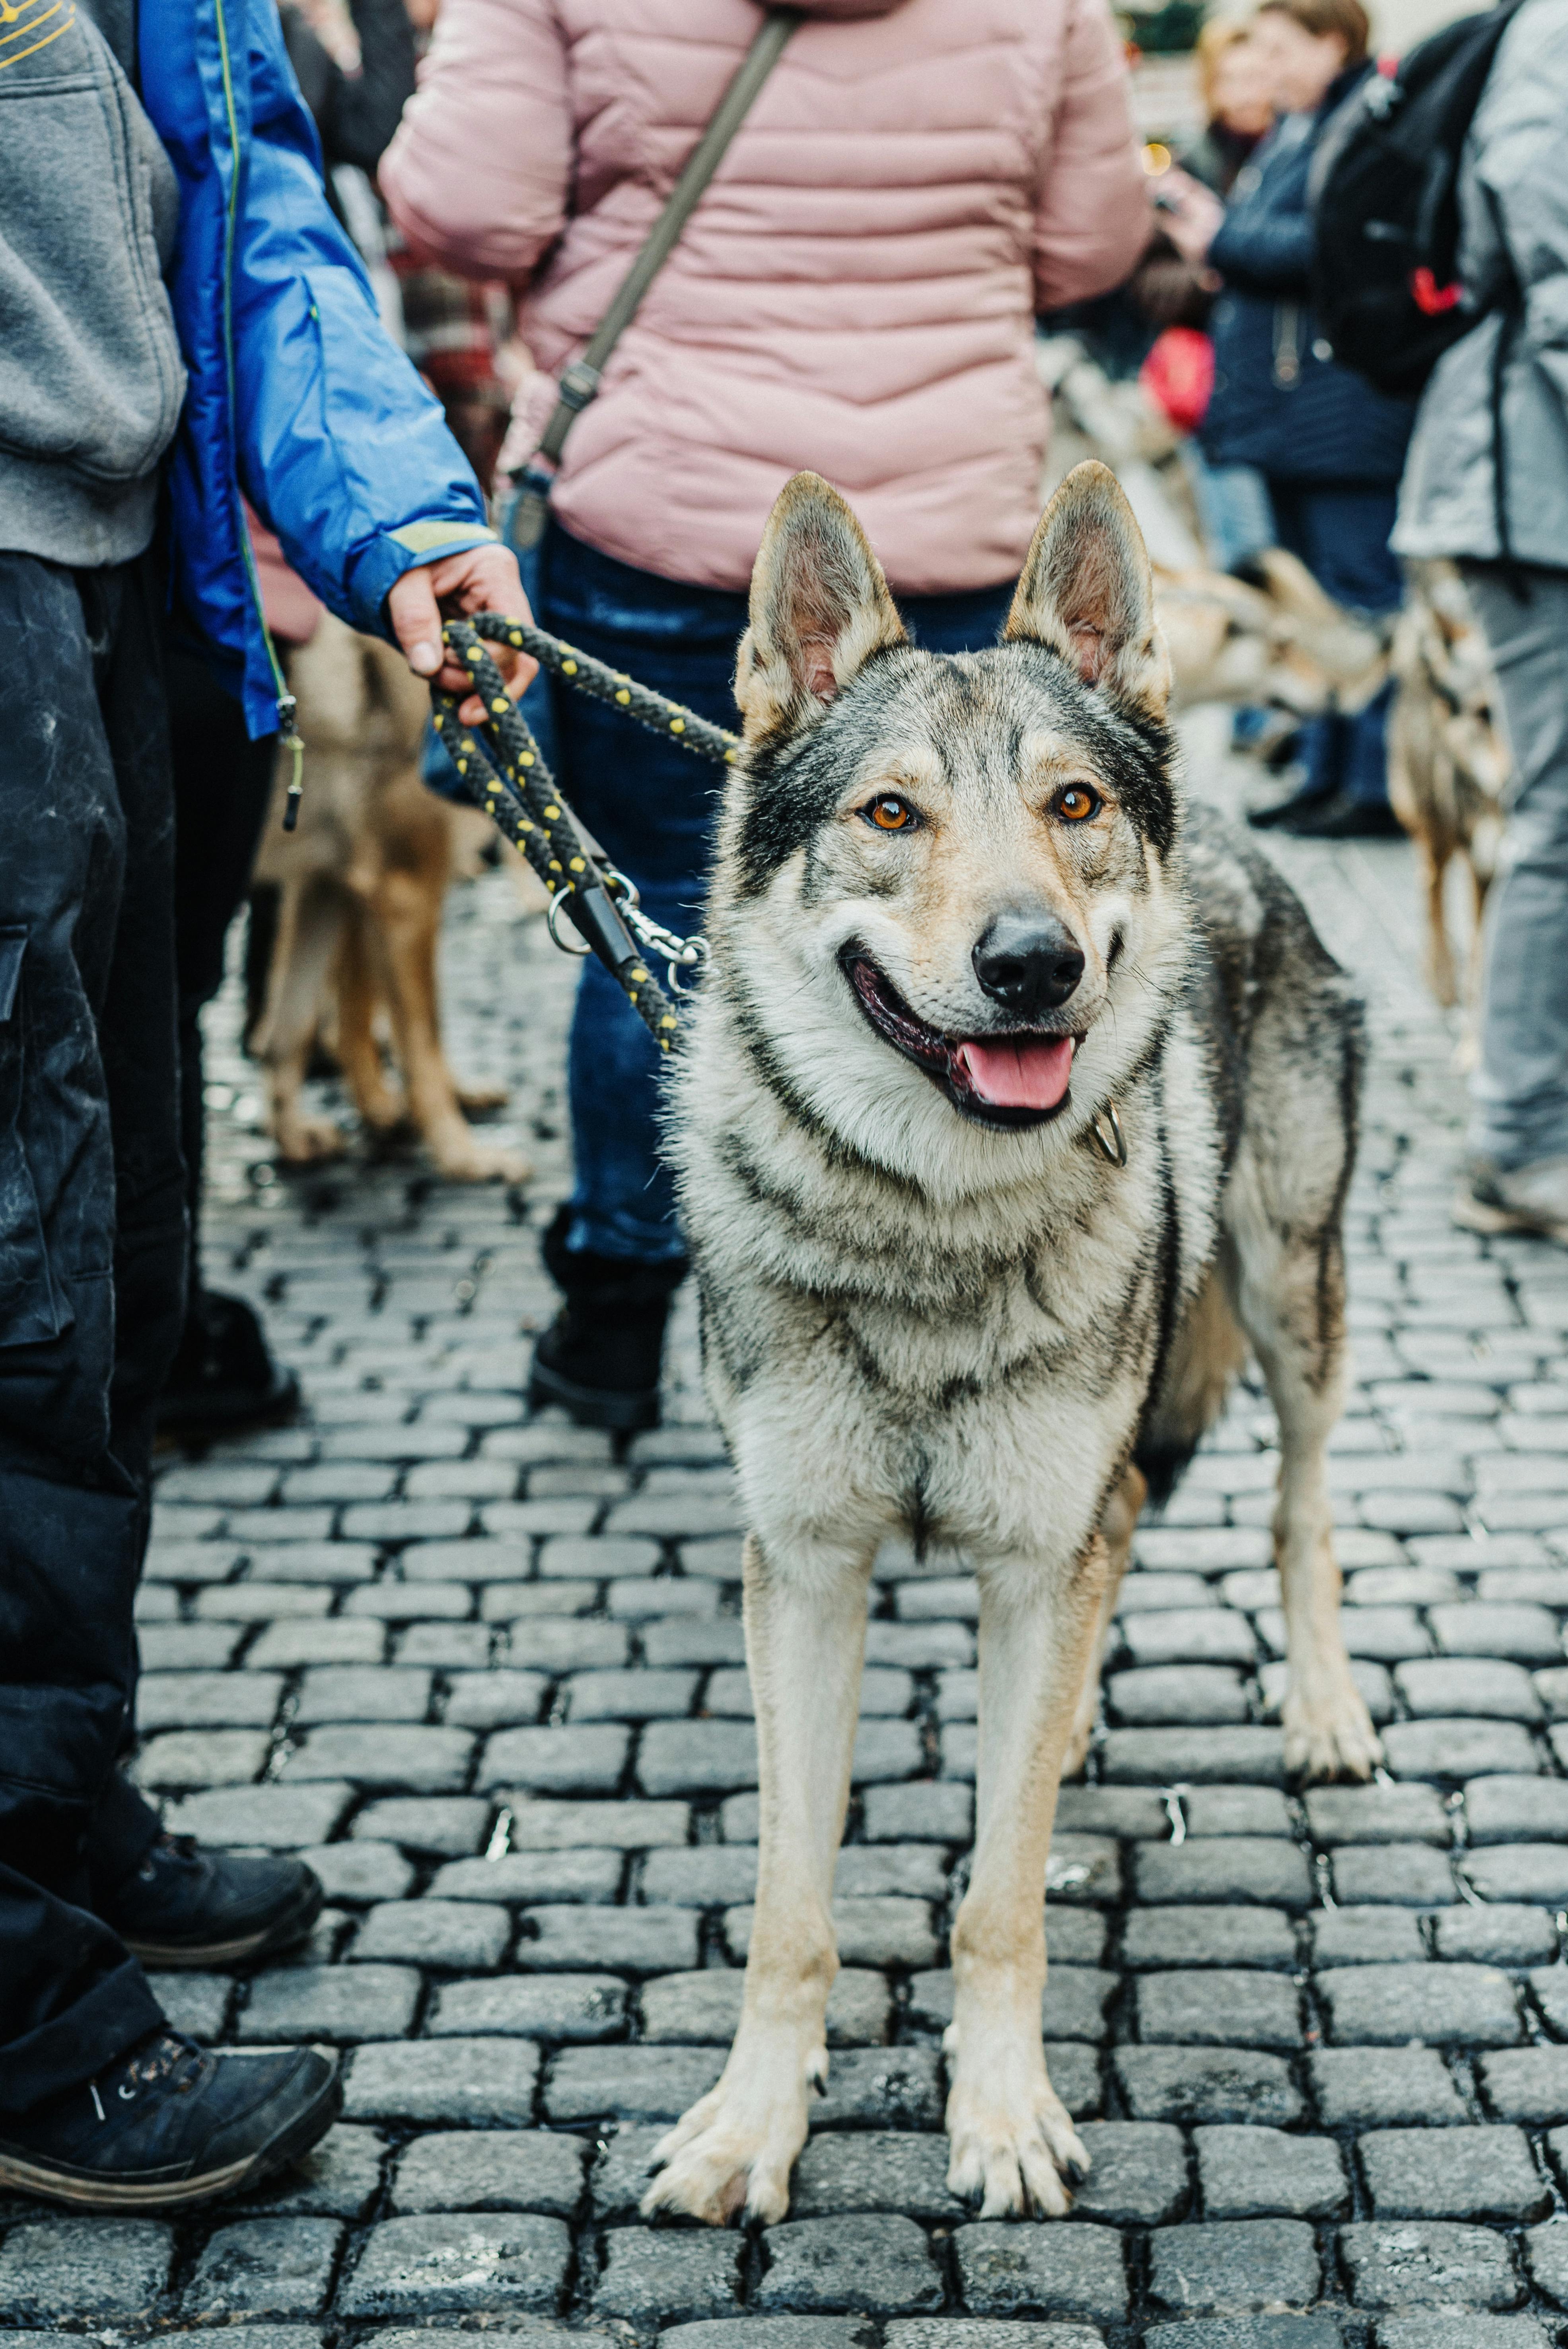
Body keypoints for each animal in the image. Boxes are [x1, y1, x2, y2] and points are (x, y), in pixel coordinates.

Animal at [643, 460, 1378, 2231]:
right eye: (889, 817)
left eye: (1070, 804)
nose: (1030, 964)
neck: (932, 1230)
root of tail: (1233, 829)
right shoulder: (805, 1570)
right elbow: (791, 1905)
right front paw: (750, 2129)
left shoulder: (1039, 1549)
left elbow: (998, 1898)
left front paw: (999, 2122)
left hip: (1290, 1298)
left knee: (1296, 1512)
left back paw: (1320, 1710)